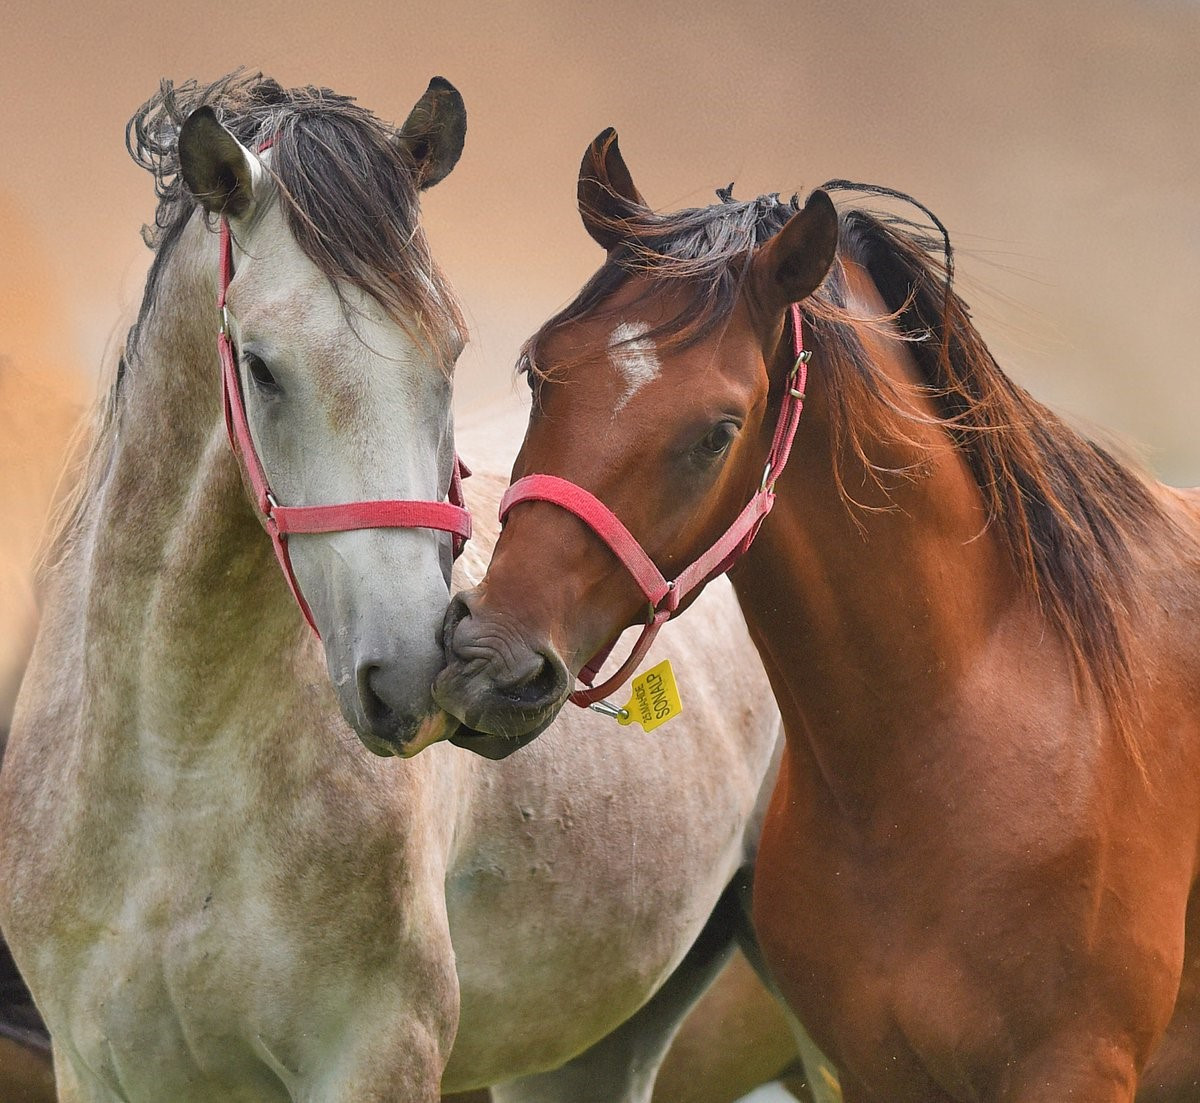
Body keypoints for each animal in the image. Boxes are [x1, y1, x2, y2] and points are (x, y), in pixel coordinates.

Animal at [0, 73, 811, 1103]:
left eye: (451, 351)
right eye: (260, 366)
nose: (415, 671)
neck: (171, 774)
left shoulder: (378, 1052)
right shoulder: (97, 1067)